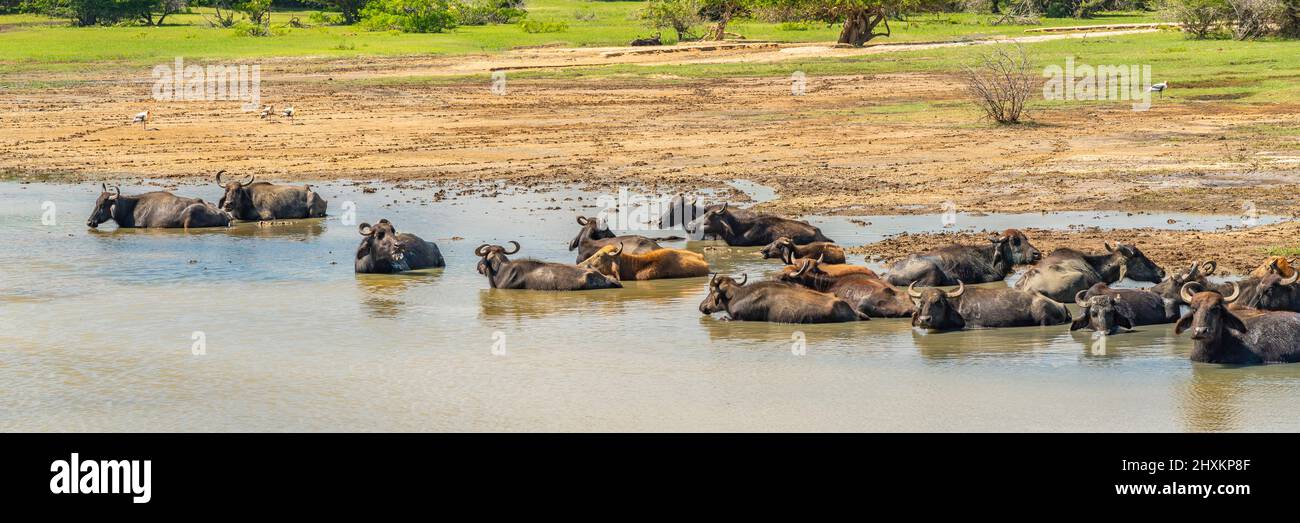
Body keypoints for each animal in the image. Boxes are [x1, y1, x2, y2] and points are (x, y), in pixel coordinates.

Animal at [907, 281, 1070, 331]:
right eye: (922, 302)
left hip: (1044, 320)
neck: (956, 307)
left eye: (938, 301)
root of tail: (1061, 305)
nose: (924, 320)